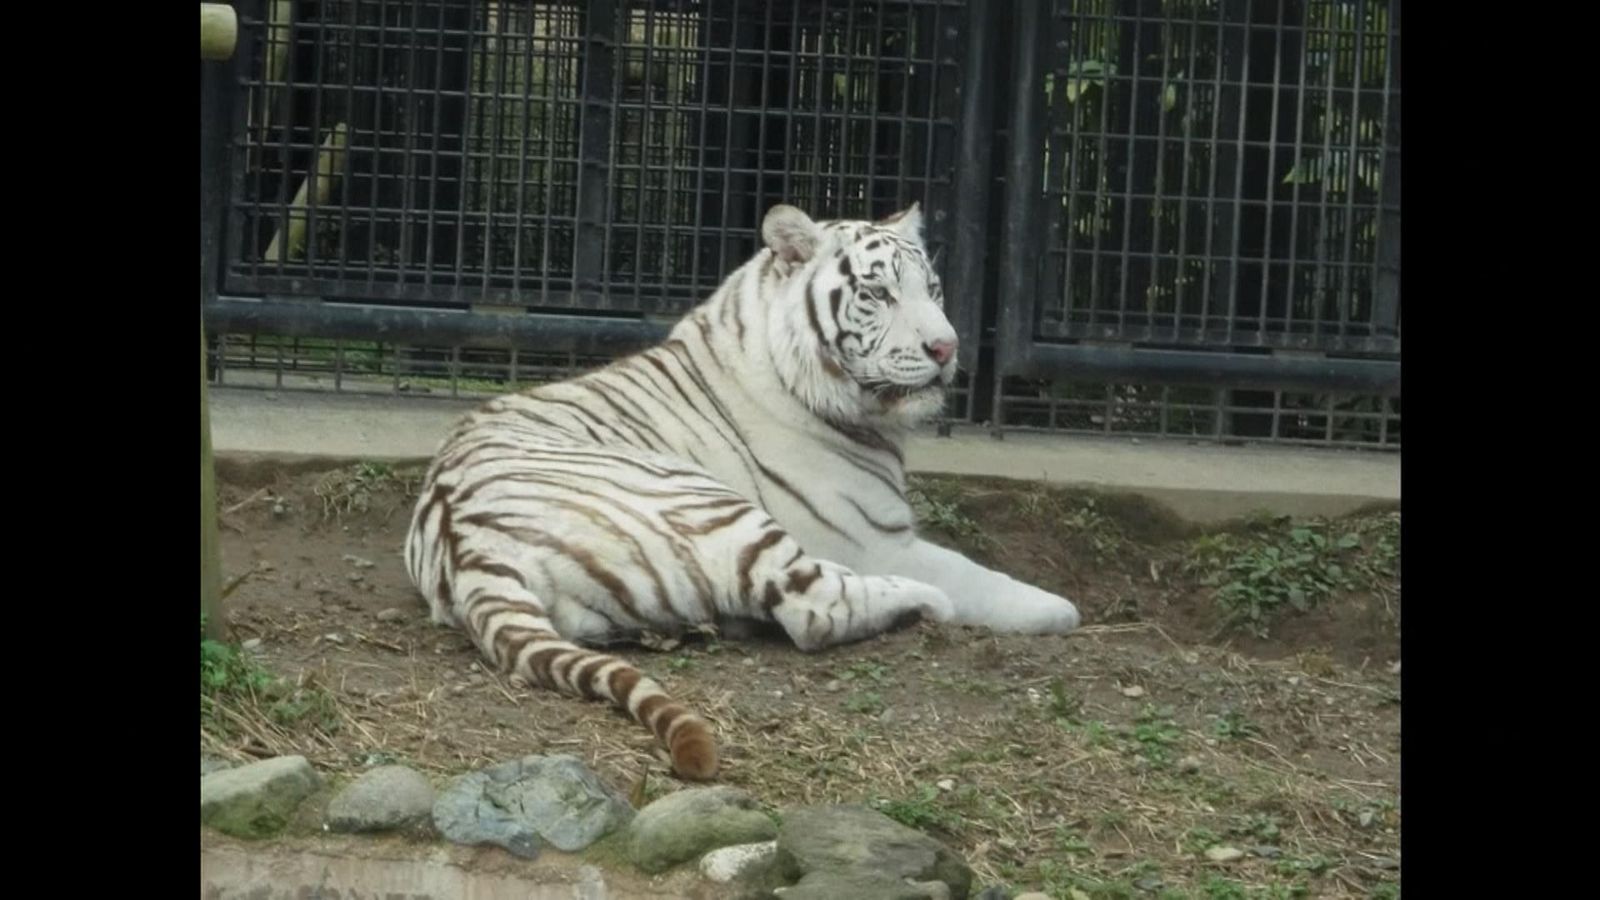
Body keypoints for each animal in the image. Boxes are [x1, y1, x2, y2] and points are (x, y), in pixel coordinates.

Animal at [403, 203, 1082, 781]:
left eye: (932, 290)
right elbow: (977, 577)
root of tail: (467, 545)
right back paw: (920, 601)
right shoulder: (875, 540)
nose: (946, 348)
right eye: (877, 293)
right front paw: (1058, 608)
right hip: (713, 504)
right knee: (816, 607)